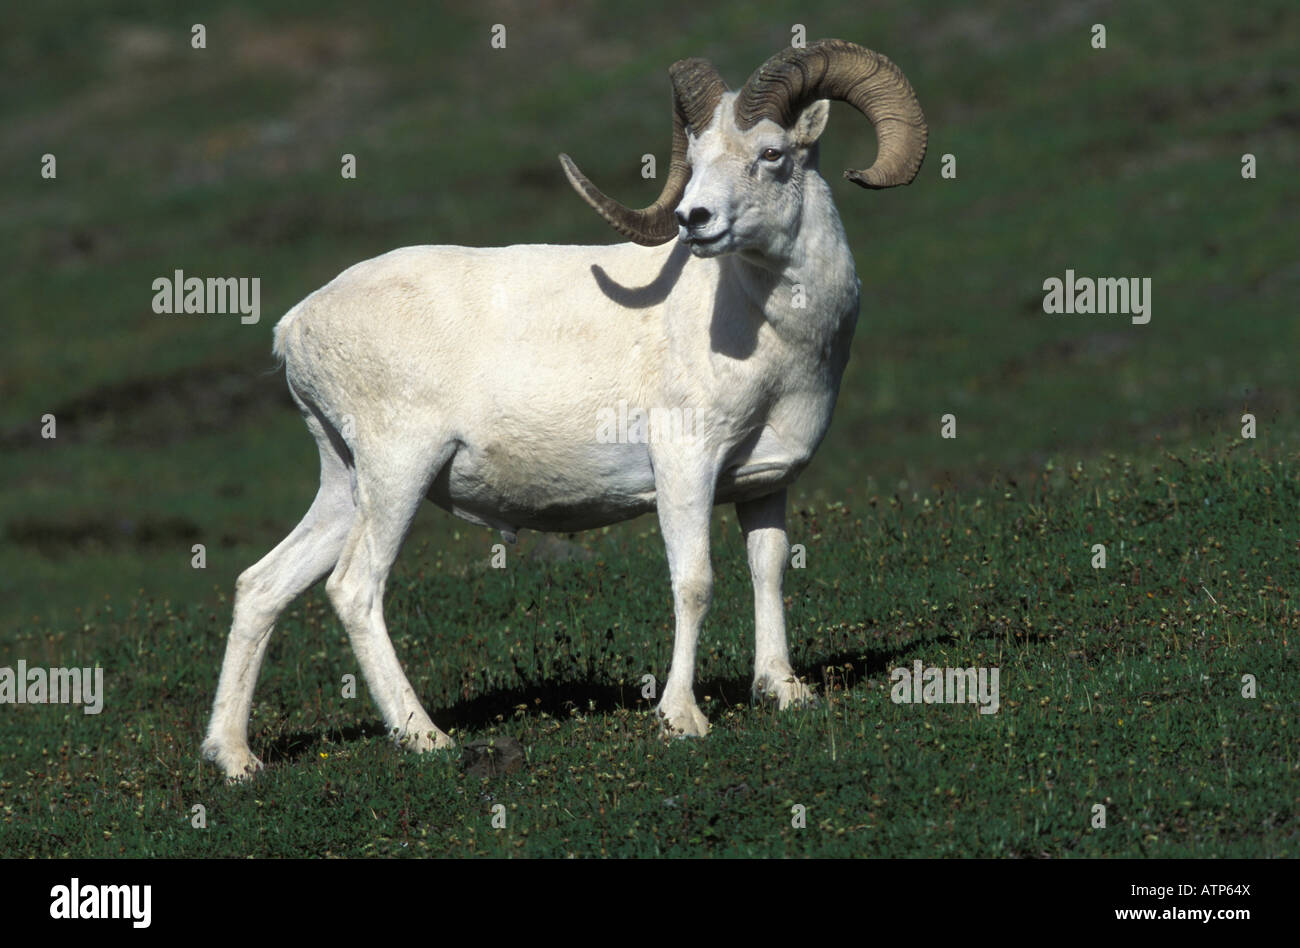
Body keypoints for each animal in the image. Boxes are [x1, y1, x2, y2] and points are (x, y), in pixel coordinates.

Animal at [202, 38, 927, 780]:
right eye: (696, 159)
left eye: (772, 153)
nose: (694, 221)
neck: (775, 336)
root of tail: (295, 326)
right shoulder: (685, 467)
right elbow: (694, 582)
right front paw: (681, 719)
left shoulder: (764, 484)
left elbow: (768, 568)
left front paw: (784, 691)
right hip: (397, 470)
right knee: (354, 589)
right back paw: (425, 737)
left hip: (346, 482)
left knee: (262, 585)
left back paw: (235, 759)